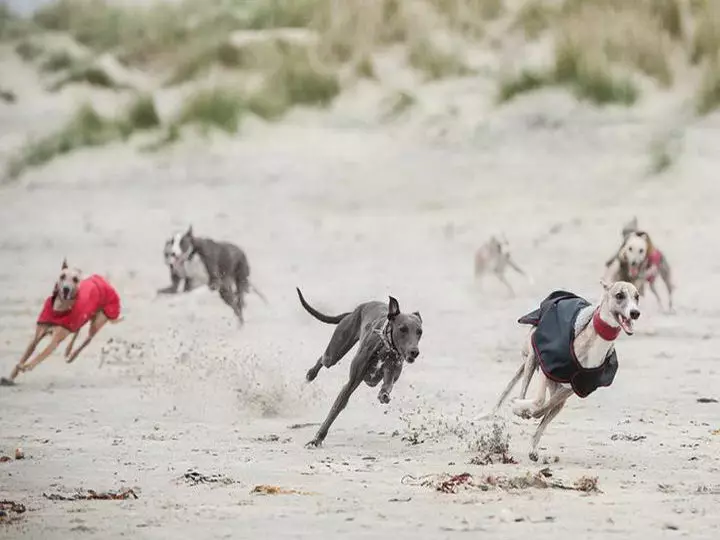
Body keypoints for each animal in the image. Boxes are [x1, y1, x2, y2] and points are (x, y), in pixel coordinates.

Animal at [296, 288, 422, 450]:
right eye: (403, 329)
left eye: (419, 331)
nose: (414, 352)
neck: (385, 348)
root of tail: (357, 309)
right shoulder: (351, 383)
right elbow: (335, 409)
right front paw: (317, 439)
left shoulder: (391, 373)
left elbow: (387, 385)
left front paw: (383, 395)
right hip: (335, 352)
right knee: (324, 359)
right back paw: (311, 374)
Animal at [486, 280, 640, 462]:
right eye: (619, 295)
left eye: (637, 297)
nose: (635, 313)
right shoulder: (547, 365)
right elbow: (539, 400)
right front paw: (520, 407)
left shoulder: (575, 386)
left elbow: (541, 409)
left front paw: (529, 413)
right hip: (532, 355)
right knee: (523, 392)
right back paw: (518, 406)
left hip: (558, 393)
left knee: (546, 410)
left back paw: (532, 445)